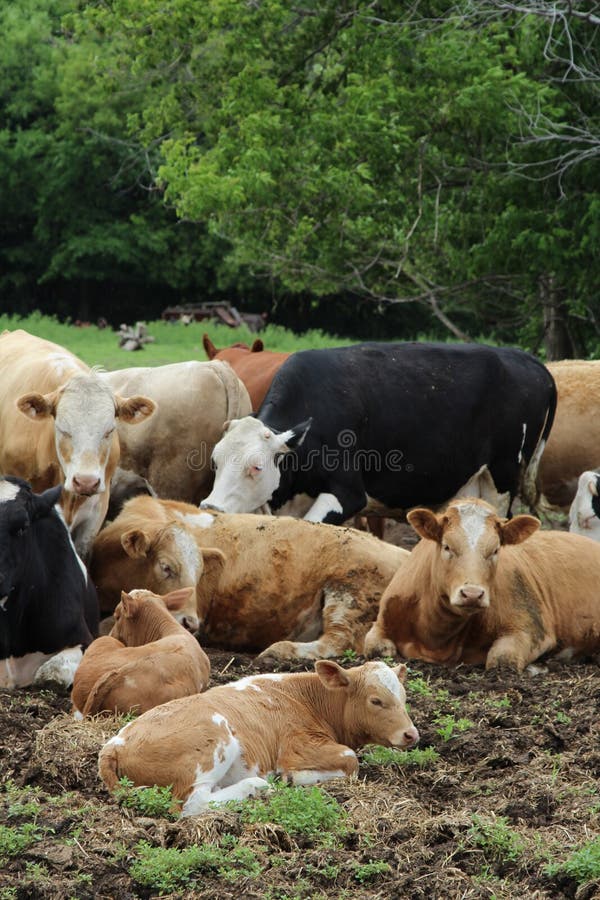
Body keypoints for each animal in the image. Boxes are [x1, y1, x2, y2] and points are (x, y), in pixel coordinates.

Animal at [89, 495, 409, 659]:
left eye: (199, 574)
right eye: (166, 567)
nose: (190, 623)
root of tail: (405, 555)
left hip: (349, 592)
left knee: (337, 640)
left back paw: (281, 651)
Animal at [98, 659, 419, 816]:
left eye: (404, 697)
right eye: (376, 701)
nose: (411, 734)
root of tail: (114, 744)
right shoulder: (296, 747)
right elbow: (350, 760)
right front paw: (292, 778)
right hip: (215, 740)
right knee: (192, 804)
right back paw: (257, 786)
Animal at [200, 342, 556, 526]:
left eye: (256, 467)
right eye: (215, 462)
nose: (211, 507)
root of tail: (531, 363)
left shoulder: (349, 494)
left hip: (502, 479)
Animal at [363, 497, 600, 671]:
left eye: (495, 550)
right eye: (447, 546)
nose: (472, 594)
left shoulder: (532, 627)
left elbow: (501, 659)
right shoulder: (381, 623)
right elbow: (375, 647)